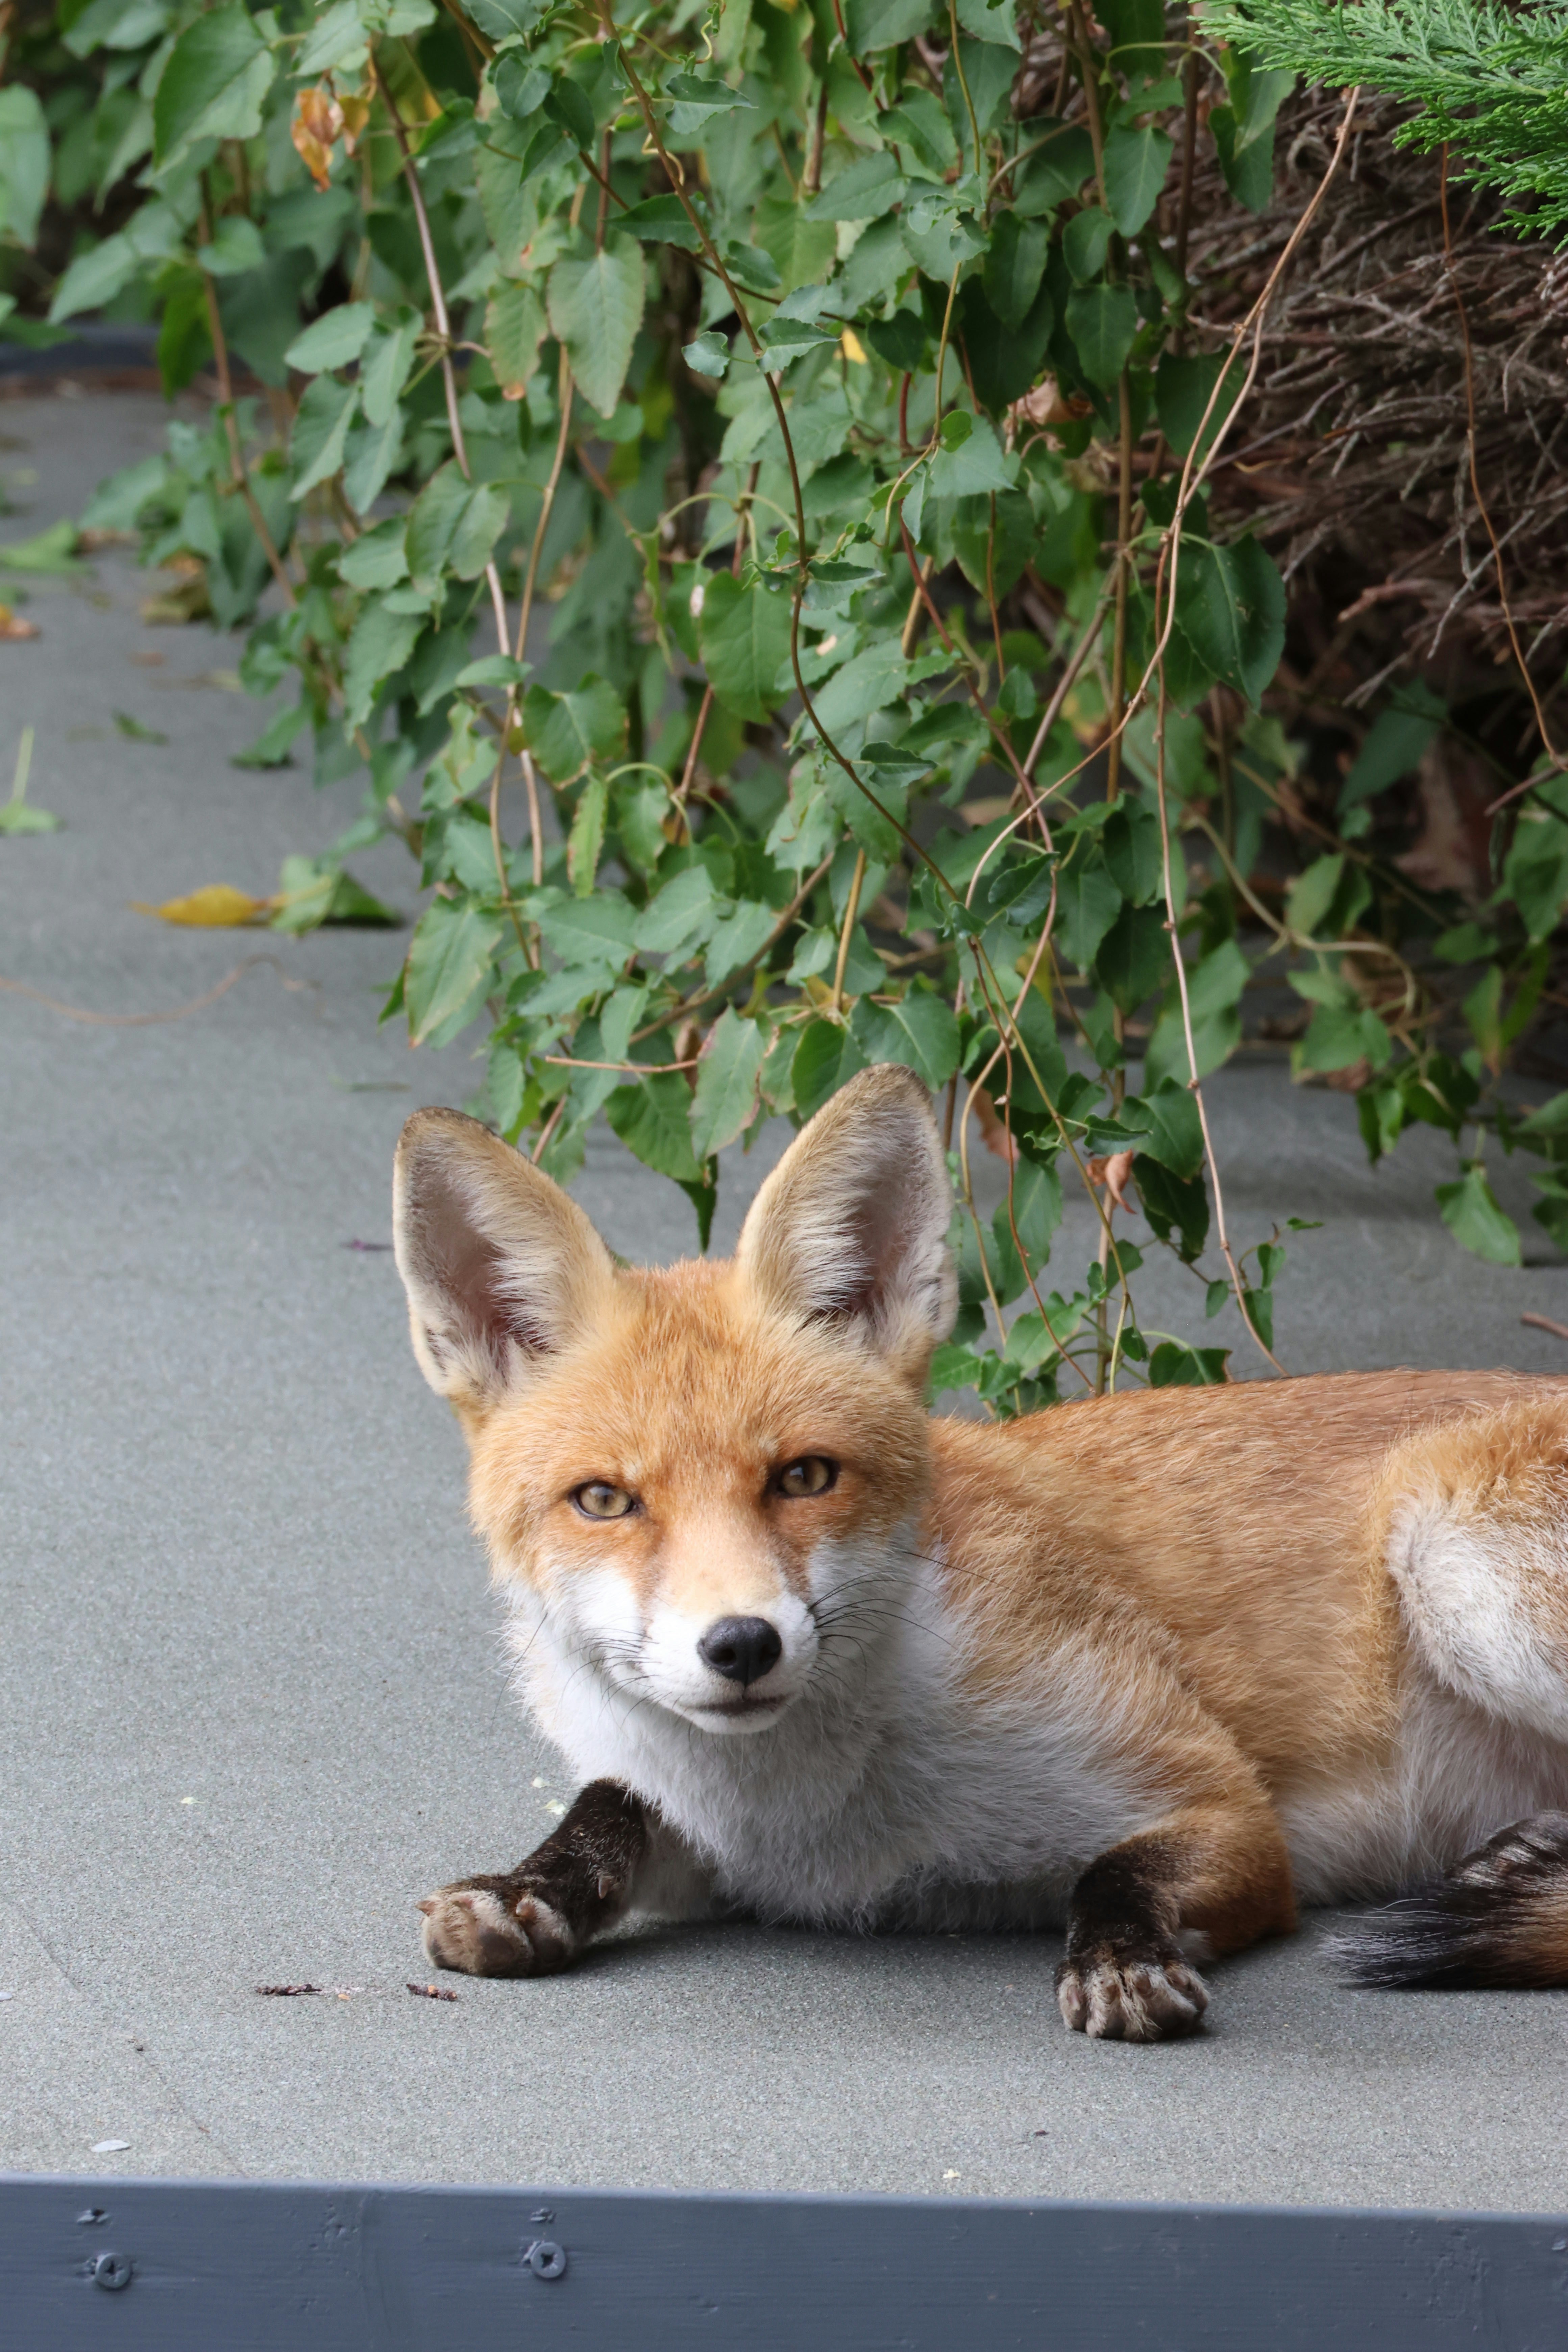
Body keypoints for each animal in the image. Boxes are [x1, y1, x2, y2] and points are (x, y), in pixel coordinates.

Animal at [392, 1063, 1568, 2040]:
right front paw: (526, 1891)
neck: (809, 1814)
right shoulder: (705, 1831)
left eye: (804, 1477)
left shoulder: (1225, 1809)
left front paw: (1118, 1961)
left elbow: (1112, 1873)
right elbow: (606, 1808)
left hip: (1452, 1564)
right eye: (605, 1500)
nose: (740, 1647)